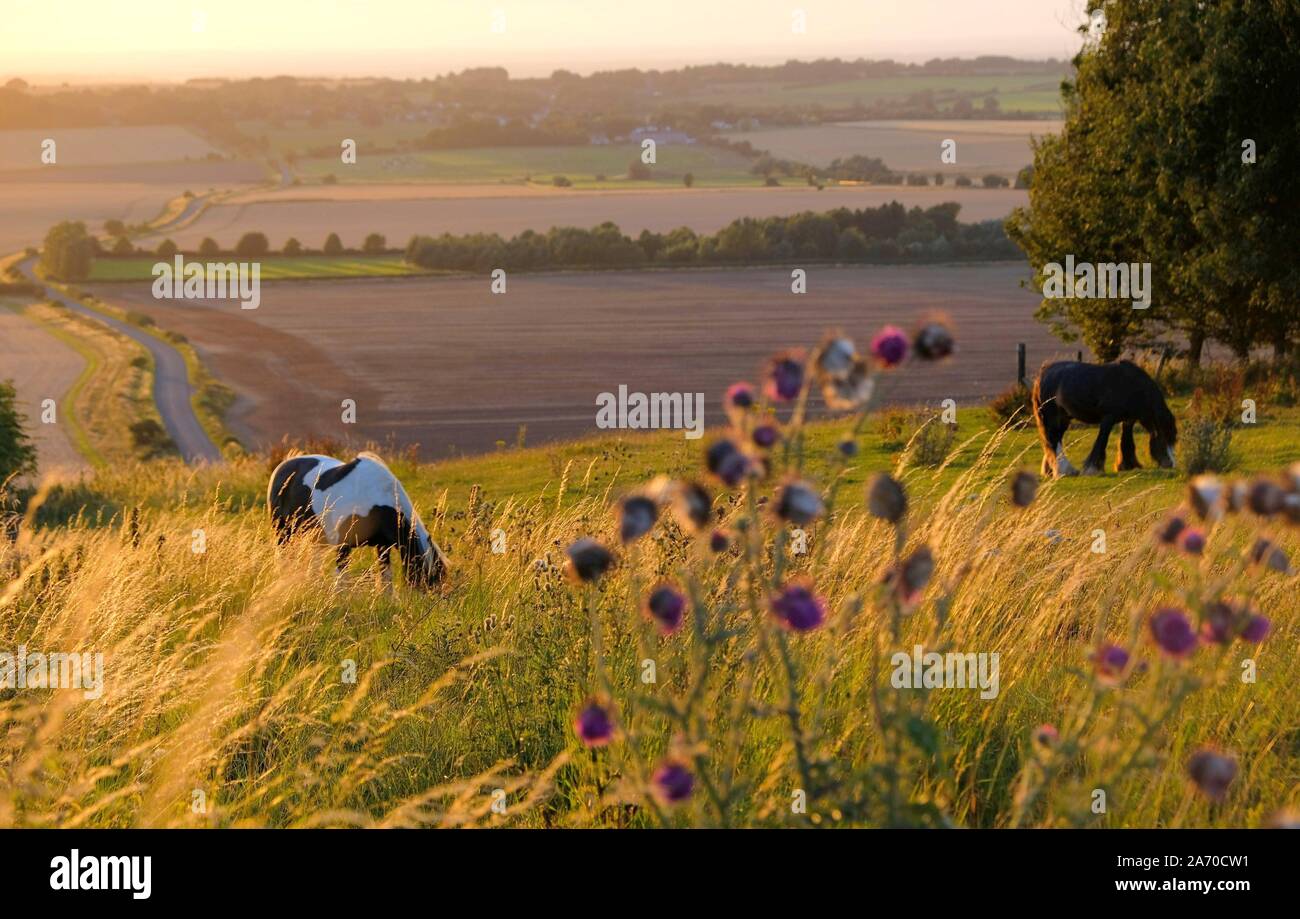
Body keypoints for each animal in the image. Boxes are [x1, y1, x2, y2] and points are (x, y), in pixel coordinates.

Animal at [267, 451, 447, 587]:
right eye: (425, 577)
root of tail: (283, 466)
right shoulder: (343, 545)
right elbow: (342, 578)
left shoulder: (383, 546)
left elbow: (386, 577)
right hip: (282, 532)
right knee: (284, 559)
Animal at [1032, 360, 1177, 478]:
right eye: (1164, 438)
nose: (1171, 464)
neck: (1131, 384)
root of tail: (1043, 374)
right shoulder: (1108, 418)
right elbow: (1102, 440)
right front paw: (1092, 469)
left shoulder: (1129, 419)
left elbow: (1126, 441)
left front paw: (1126, 465)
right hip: (1052, 416)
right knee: (1053, 440)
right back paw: (1064, 471)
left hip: (1063, 419)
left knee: (1054, 439)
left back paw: (1054, 471)